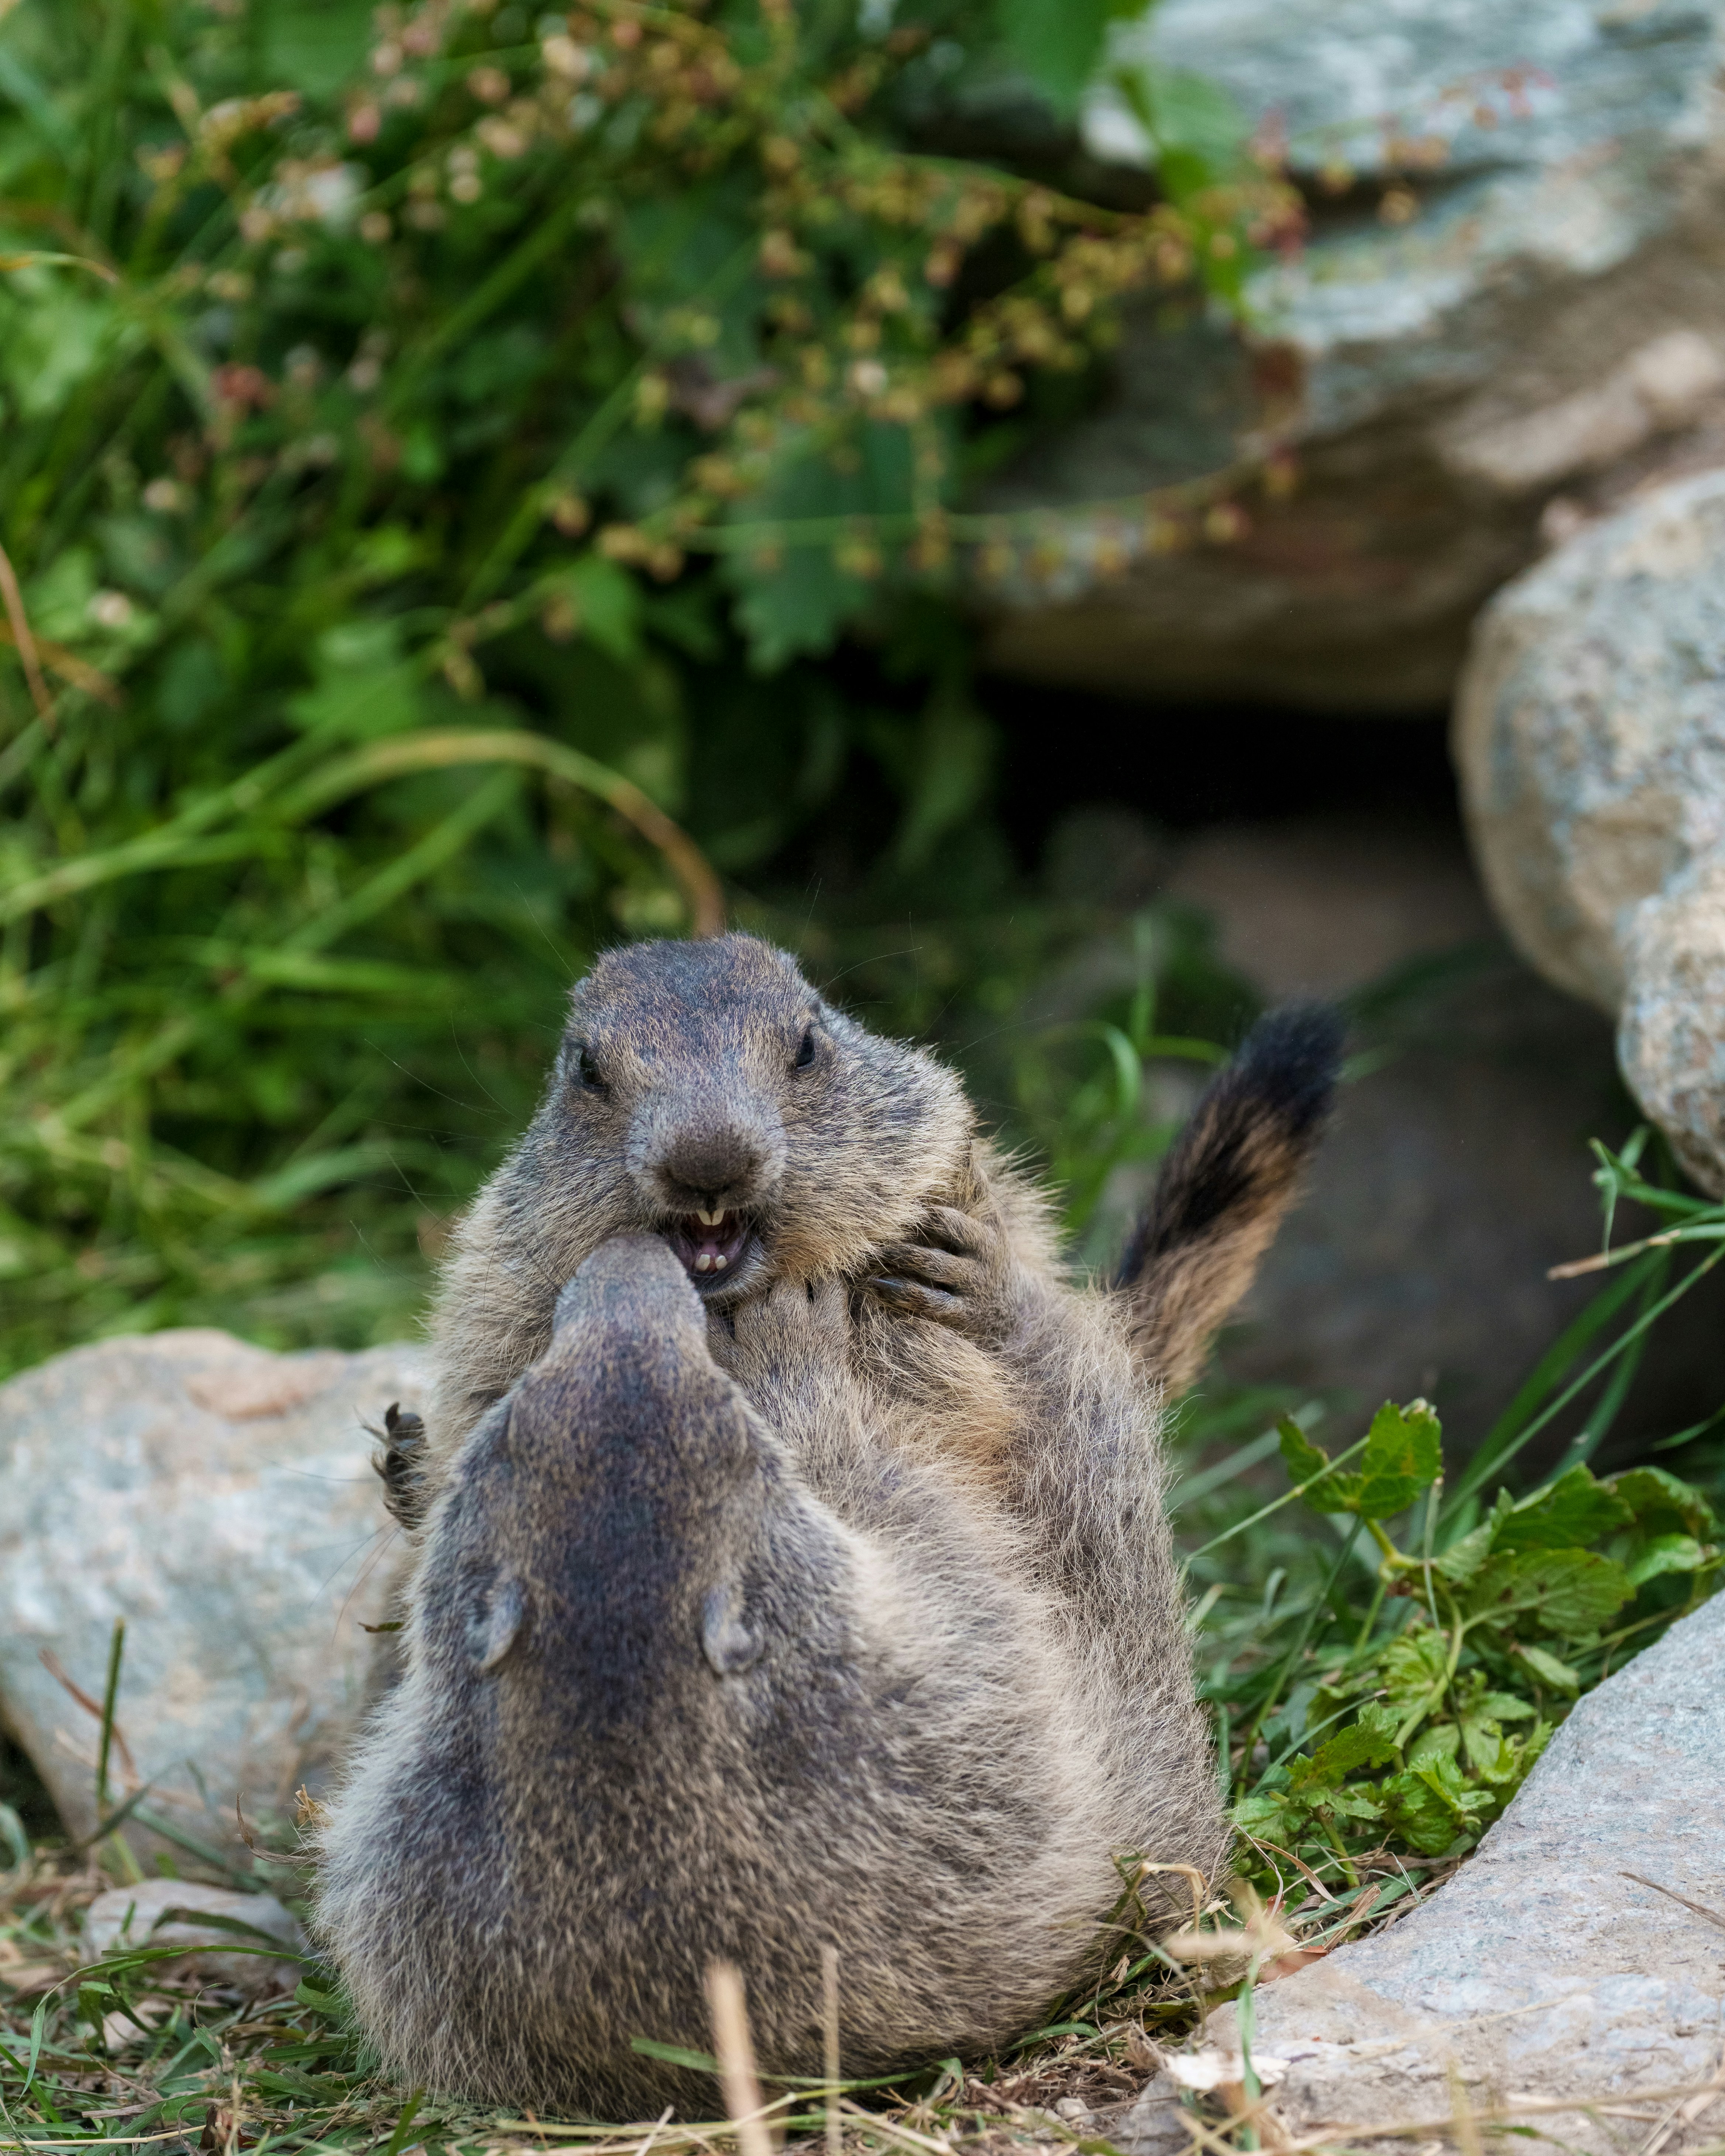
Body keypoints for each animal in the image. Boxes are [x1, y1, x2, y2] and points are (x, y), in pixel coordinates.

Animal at [322, 934, 1340, 2112]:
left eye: (809, 1044)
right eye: (585, 1070)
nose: (707, 1157)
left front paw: (972, 1278)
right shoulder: (501, 1289)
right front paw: (416, 1462)